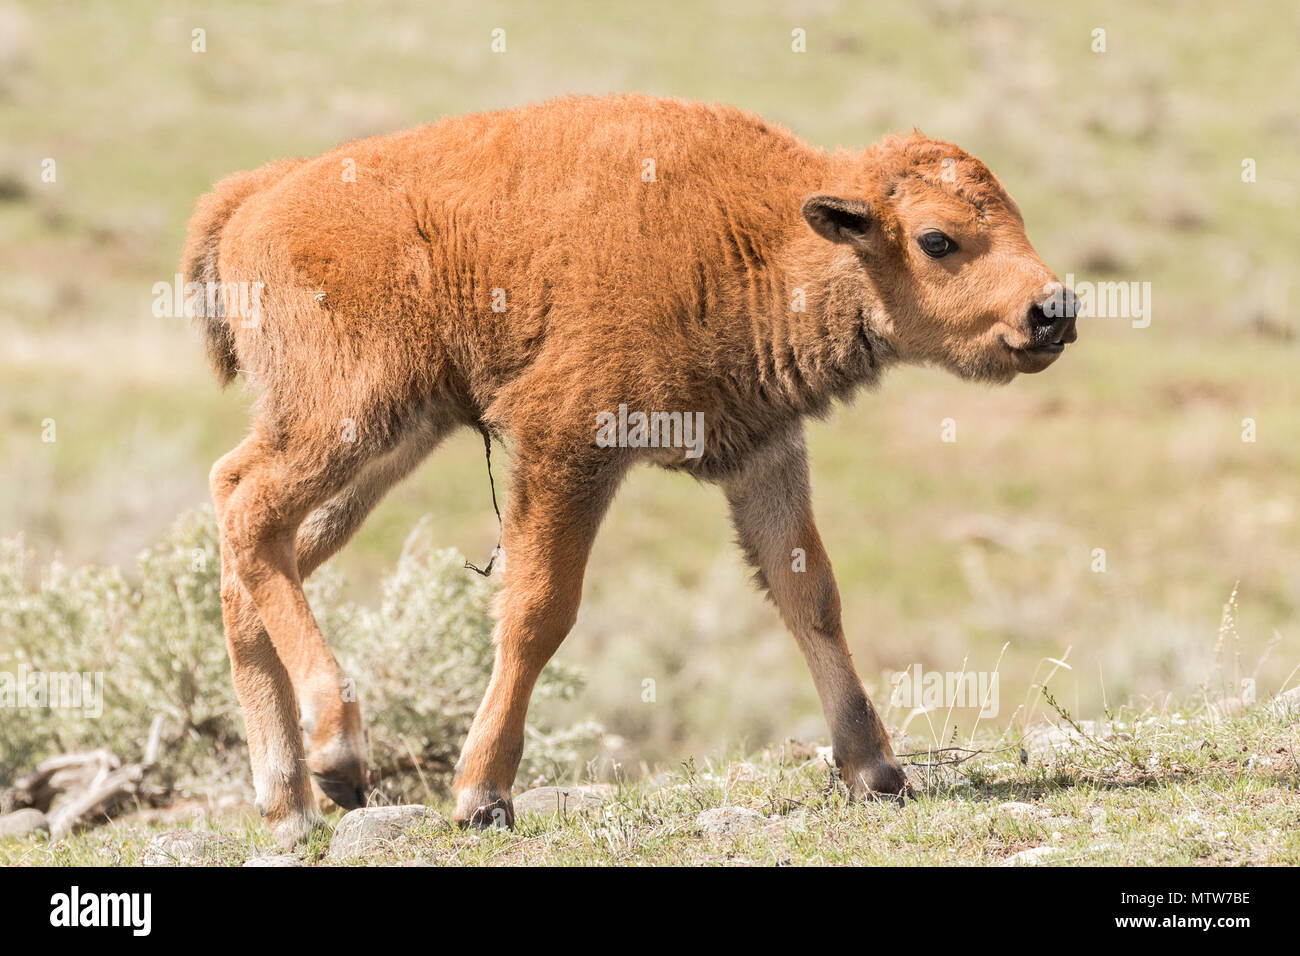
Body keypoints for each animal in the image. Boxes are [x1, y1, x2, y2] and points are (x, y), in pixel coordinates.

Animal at [182, 93, 1077, 848]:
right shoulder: (572, 446)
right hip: (350, 416)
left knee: (249, 548)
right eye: (937, 239)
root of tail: (256, 195)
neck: (766, 235)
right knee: (249, 508)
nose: (1054, 310)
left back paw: (289, 805)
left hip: (385, 441)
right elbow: (539, 611)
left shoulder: (763, 455)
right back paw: (337, 753)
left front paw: (876, 770)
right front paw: (481, 796)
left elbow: (810, 597)